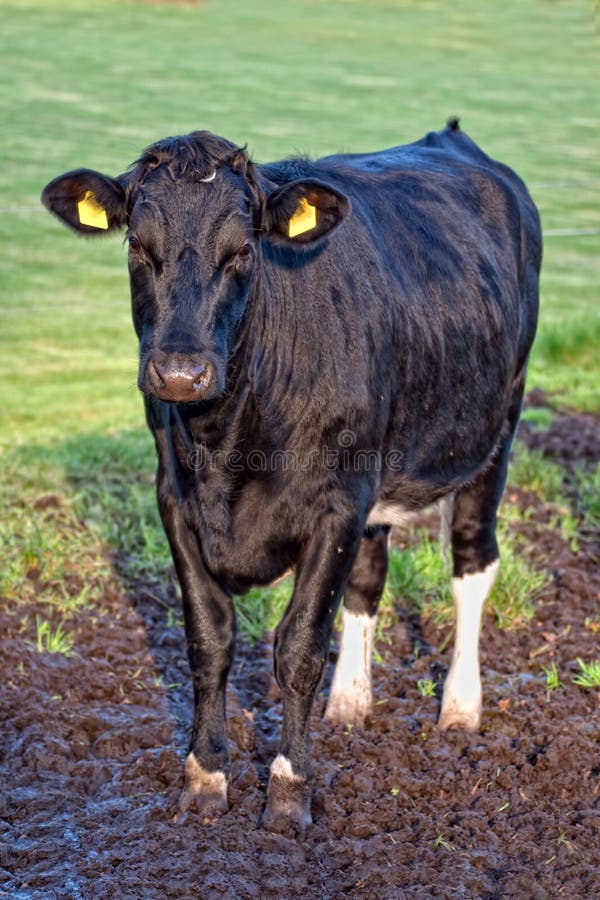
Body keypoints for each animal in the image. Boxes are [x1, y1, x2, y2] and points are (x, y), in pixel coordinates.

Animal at [42, 118, 541, 832]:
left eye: (244, 251)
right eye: (137, 244)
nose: (180, 373)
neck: (226, 446)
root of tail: (452, 140)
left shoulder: (335, 505)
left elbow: (300, 646)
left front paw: (287, 792)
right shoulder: (175, 500)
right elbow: (209, 641)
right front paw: (205, 778)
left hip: (495, 430)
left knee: (472, 564)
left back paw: (460, 708)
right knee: (368, 579)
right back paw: (351, 702)